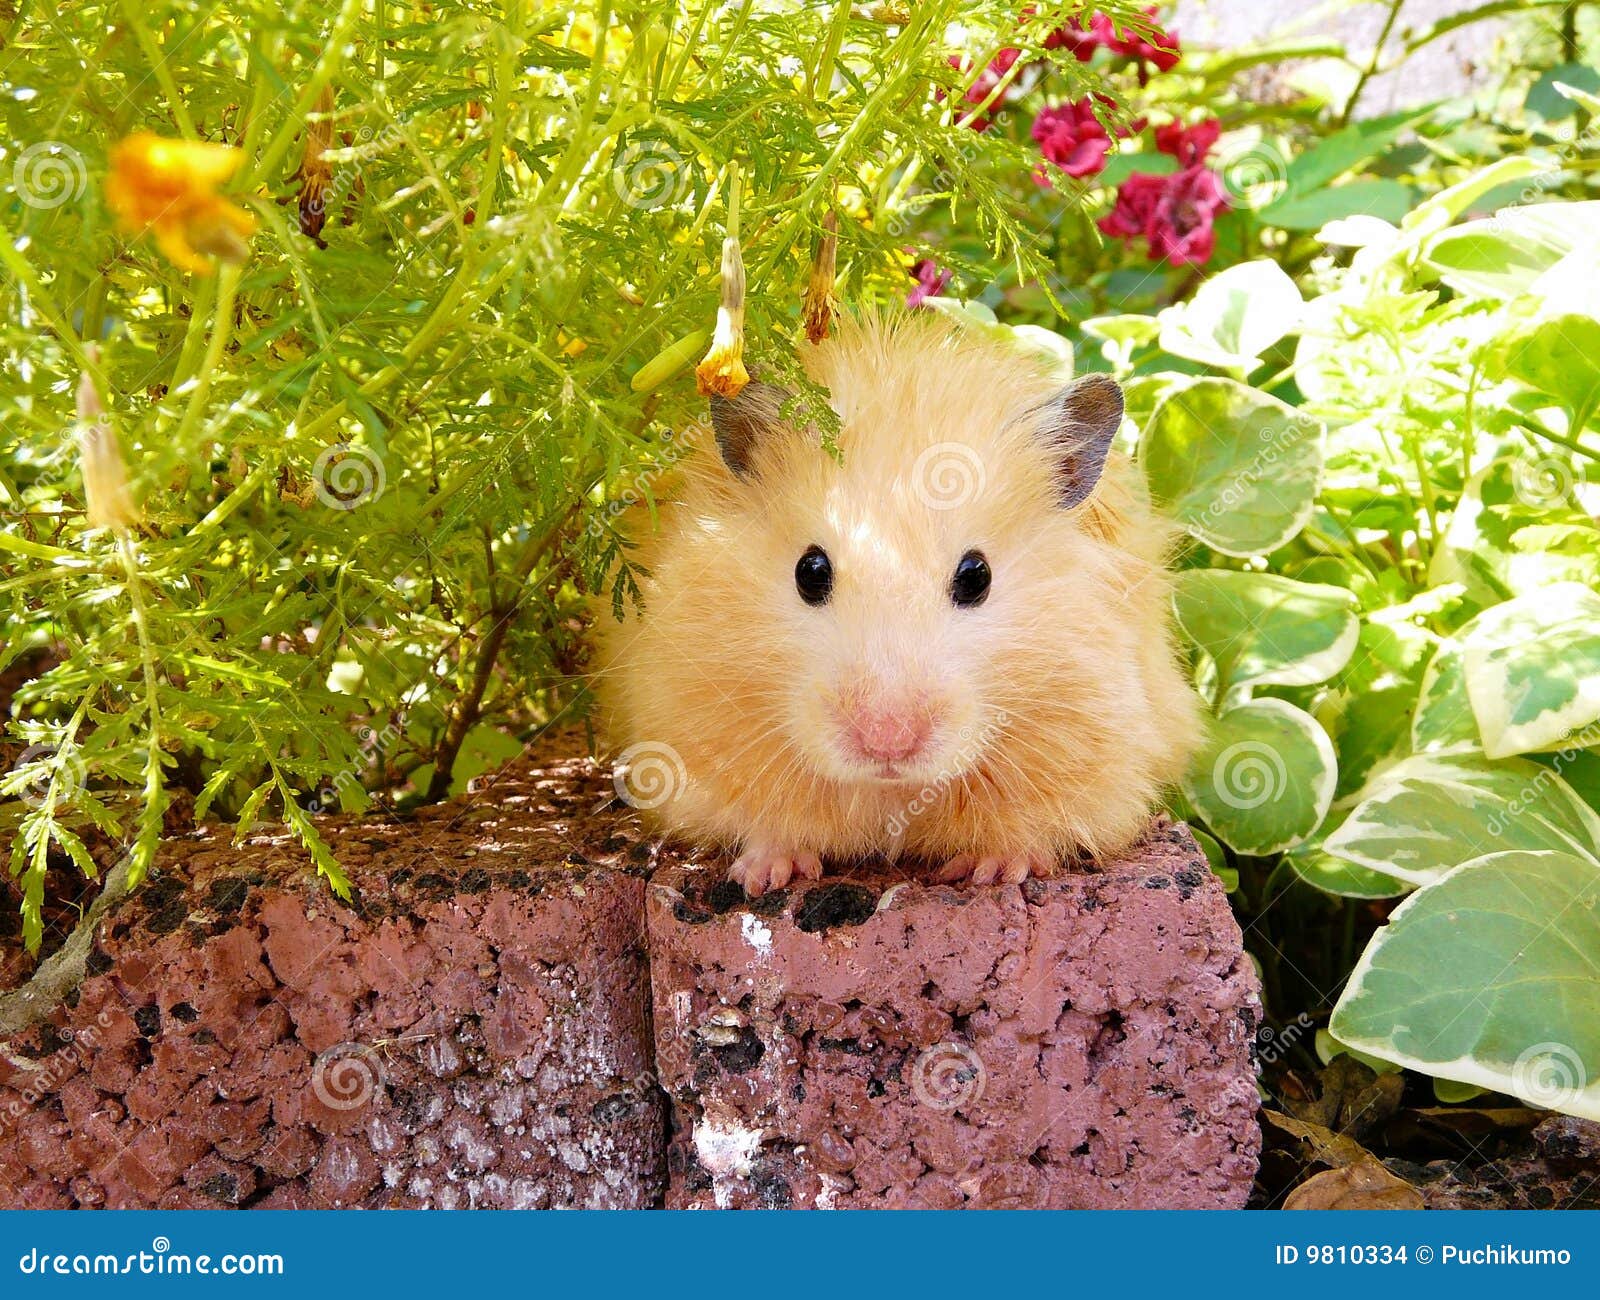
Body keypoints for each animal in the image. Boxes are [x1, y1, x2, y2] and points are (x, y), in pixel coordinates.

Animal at [596, 310, 1202, 895]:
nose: (888, 742)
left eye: (976, 577)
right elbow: (762, 822)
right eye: (810, 572)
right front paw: (763, 875)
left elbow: (1035, 825)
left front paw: (992, 870)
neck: (888, 793)